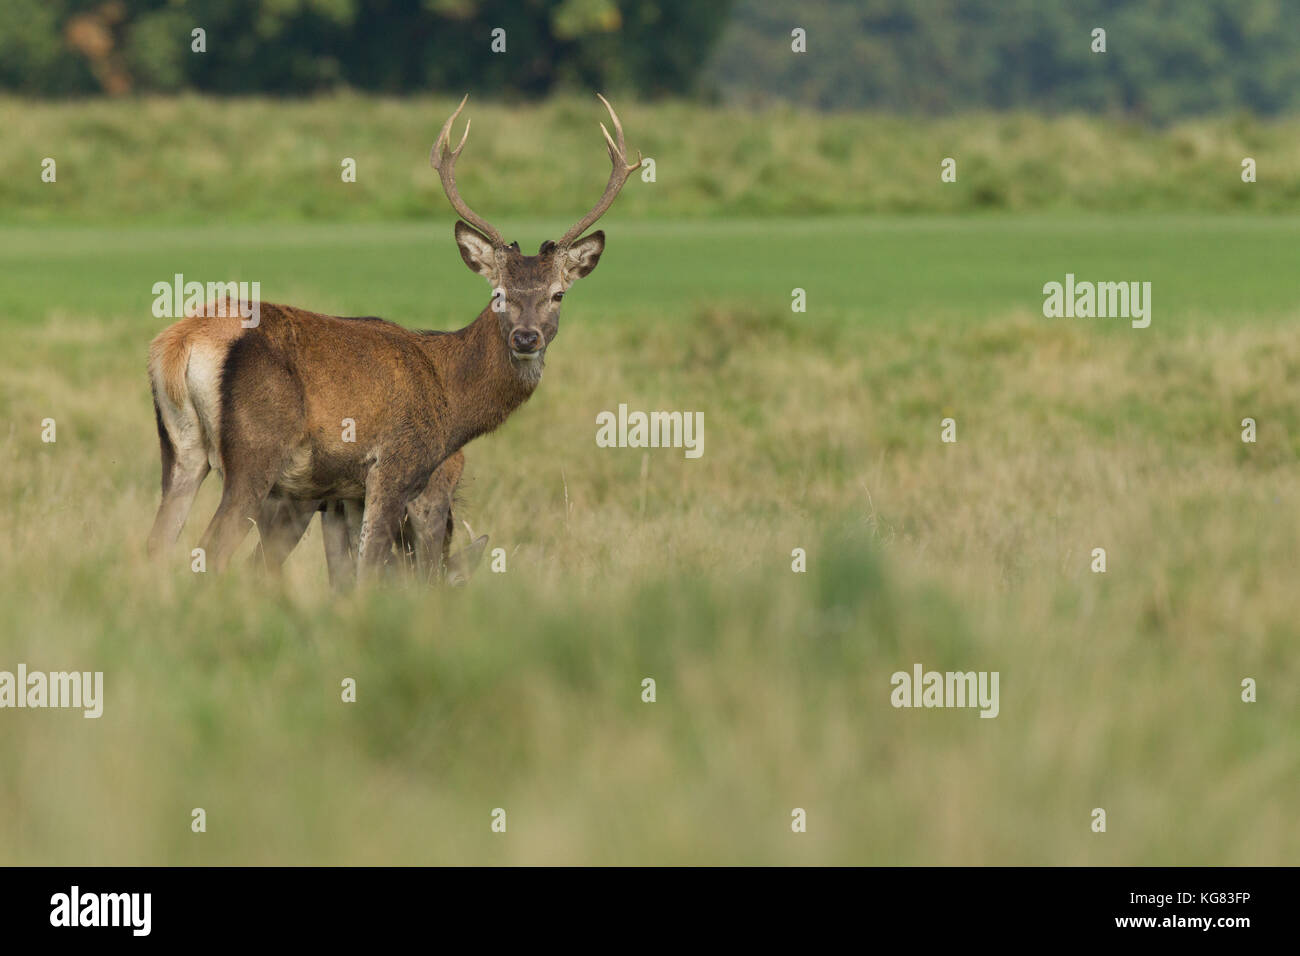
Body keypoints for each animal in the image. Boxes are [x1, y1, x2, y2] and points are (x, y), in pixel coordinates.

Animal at [146, 94, 641, 583]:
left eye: (557, 294)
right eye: (498, 293)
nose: (525, 338)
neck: (450, 401)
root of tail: (180, 343)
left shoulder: (340, 493)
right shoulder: (394, 466)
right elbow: (373, 571)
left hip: (182, 450)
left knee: (159, 543)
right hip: (256, 451)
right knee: (211, 550)